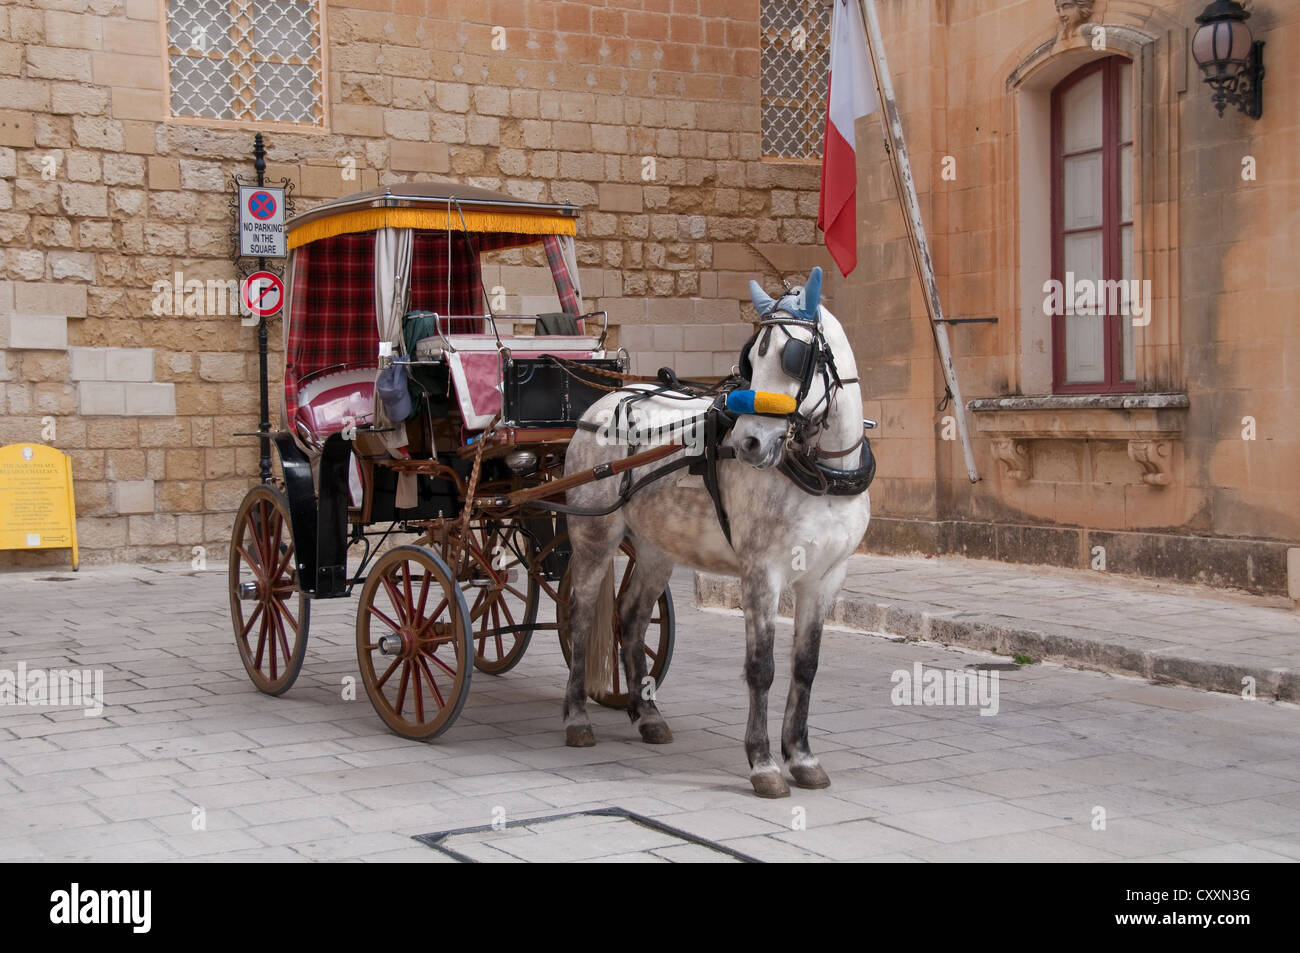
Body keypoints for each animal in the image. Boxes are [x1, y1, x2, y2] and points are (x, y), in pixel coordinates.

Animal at [559, 267, 874, 797]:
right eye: (753, 358)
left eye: (794, 357)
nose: (749, 442)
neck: (824, 474)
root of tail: (604, 402)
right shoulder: (762, 573)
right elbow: (762, 668)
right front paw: (764, 763)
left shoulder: (826, 577)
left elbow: (805, 666)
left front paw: (802, 756)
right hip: (594, 540)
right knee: (580, 620)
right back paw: (577, 717)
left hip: (656, 547)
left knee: (632, 618)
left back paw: (647, 714)